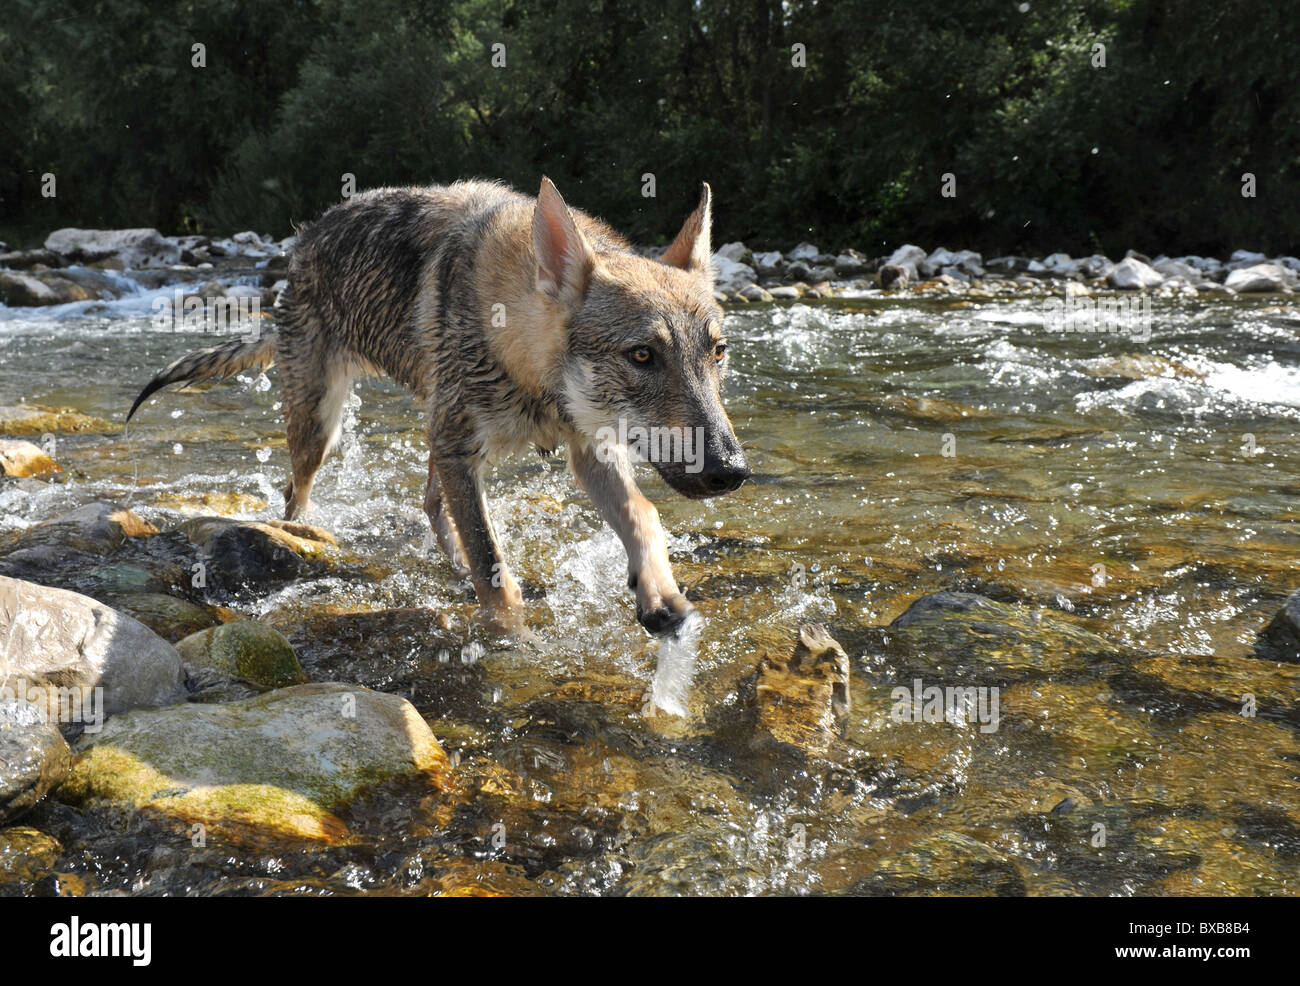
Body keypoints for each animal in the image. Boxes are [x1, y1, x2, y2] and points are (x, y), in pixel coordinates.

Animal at [127, 178, 750, 636]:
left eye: (717, 353)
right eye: (643, 355)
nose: (732, 472)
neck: (527, 369)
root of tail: (301, 242)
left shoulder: (589, 449)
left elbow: (642, 514)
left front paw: (660, 592)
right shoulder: (462, 451)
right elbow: (493, 568)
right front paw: (511, 640)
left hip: (430, 429)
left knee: (430, 501)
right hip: (323, 429)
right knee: (295, 492)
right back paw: (304, 532)